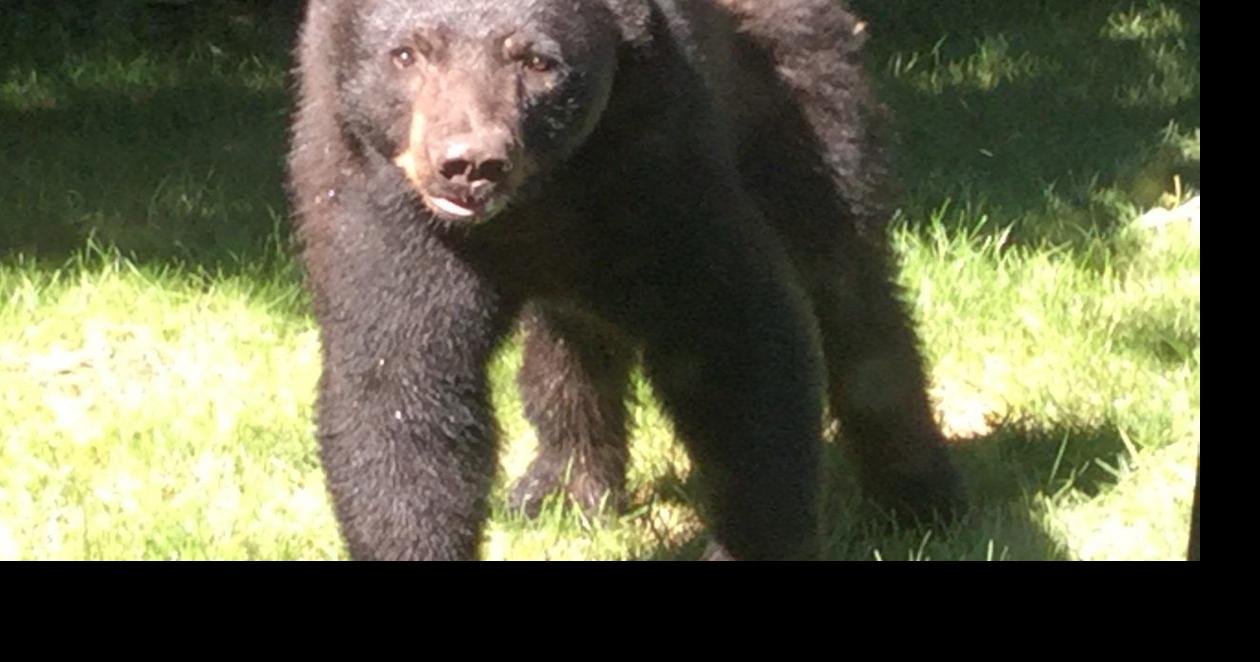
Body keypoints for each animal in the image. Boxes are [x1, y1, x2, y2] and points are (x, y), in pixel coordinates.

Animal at [287, 0, 965, 561]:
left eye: (537, 60)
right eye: (407, 52)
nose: (470, 165)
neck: (536, 204)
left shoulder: (656, 157)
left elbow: (733, 337)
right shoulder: (378, 200)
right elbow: (400, 384)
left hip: (792, 89)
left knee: (849, 285)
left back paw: (918, 496)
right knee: (568, 334)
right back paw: (562, 486)